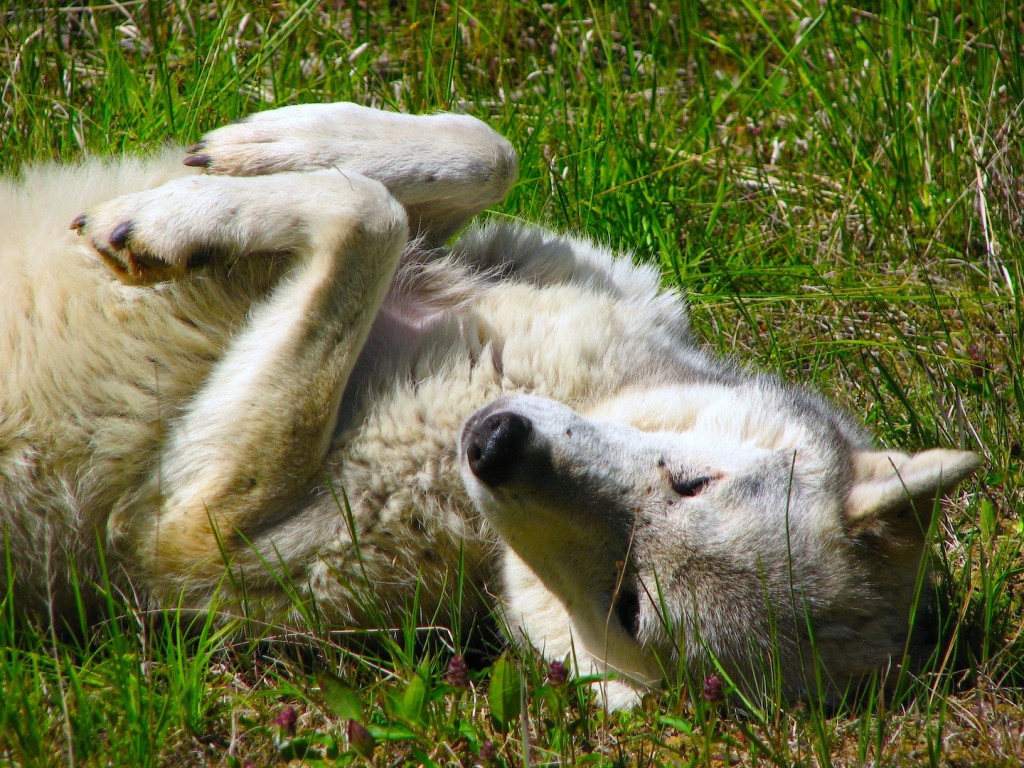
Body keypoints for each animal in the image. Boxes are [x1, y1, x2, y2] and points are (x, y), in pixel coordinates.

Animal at [0, 102, 978, 708]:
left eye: (628, 603)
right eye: (692, 481)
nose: (499, 443)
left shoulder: (195, 540)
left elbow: (367, 215)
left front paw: (161, 223)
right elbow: (477, 152)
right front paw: (248, 155)